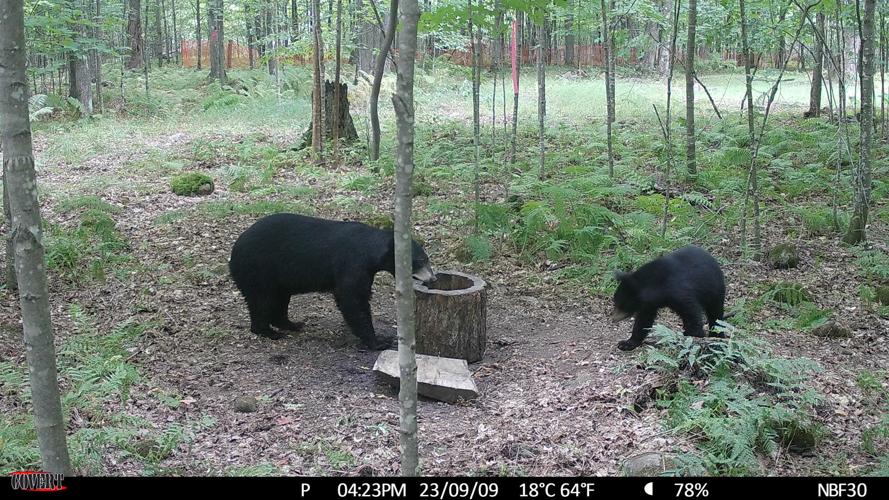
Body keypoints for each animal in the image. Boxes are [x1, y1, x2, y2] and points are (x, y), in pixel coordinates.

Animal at [229, 213, 435, 349]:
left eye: (427, 259)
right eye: (420, 261)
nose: (433, 278)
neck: (370, 252)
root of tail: (233, 254)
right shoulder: (352, 264)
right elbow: (352, 299)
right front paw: (378, 341)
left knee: (279, 300)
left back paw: (291, 324)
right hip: (258, 269)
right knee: (262, 300)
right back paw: (268, 331)